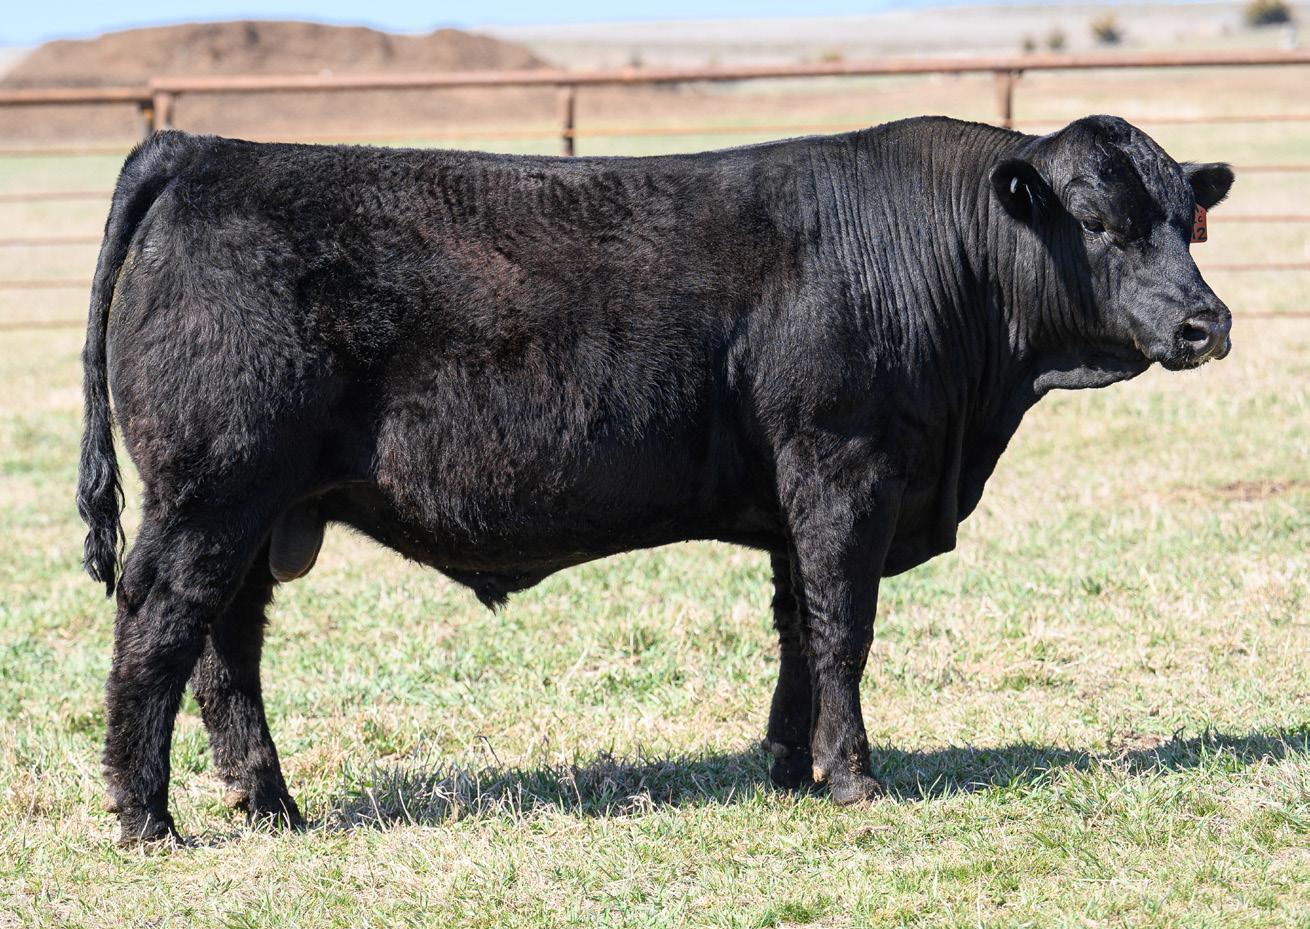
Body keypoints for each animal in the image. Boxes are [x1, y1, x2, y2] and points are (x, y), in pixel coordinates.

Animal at [77, 115, 1234, 845]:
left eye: (1188, 217)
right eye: (1096, 220)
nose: (1204, 321)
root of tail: (204, 149)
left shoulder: (793, 499)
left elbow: (796, 630)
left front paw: (789, 765)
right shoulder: (842, 470)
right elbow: (842, 625)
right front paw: (856, 776)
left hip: (260, 508)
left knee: (228, 646)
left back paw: (269, 803)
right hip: (211, 491)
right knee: (159, 624)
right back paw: (148, 817)